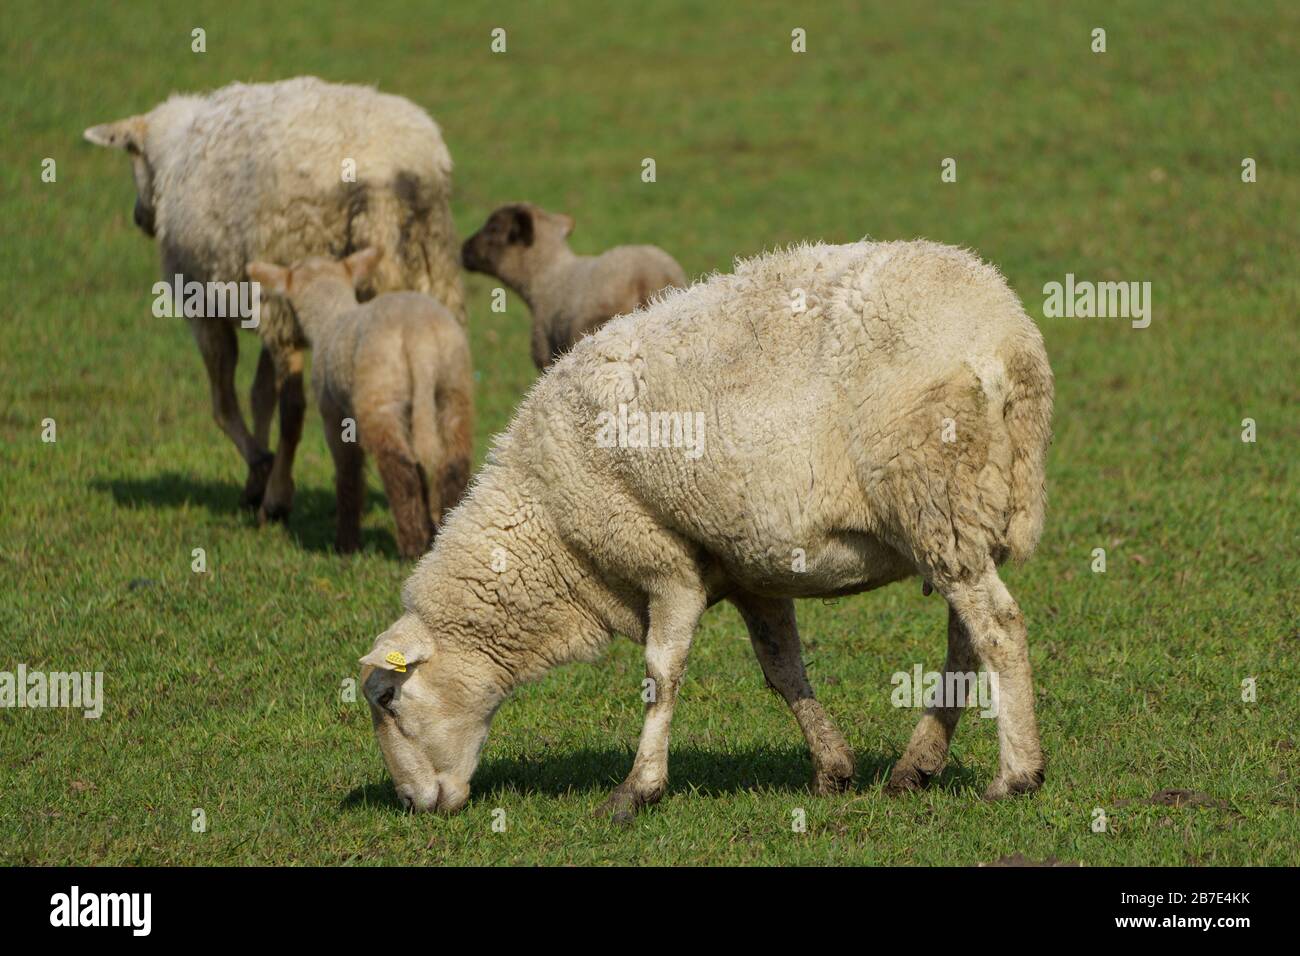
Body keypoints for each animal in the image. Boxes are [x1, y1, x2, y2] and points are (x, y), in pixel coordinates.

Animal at [84, 76, 465, 523]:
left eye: (131, 153)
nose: (138, 217)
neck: (172, 154)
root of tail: (389, 171)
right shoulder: (264, 302)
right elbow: (259, 394)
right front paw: (254, 481)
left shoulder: (207, 307)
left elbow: (226, 403)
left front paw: (260, 467)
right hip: (433, 278)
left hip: (291, 272)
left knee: (295, 408)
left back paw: (278, 499)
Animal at [247, 248, 472, 559]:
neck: (331, 315)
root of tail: (421, 340)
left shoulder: (334, 414)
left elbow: (348, 472)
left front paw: (345, 544)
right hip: (452, 388)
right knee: (453, 462)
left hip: (379, 395)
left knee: (398, 466)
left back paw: (411, 546)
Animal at [359, 239, 1054, 818]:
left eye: (387, 701)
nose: (414, 805)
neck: (547, 527)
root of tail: (1009, 336)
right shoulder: (750, 571)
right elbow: (782, 670)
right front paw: (831, 768)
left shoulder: (664, 562)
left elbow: (660, 675)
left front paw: (637, 789)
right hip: (963, 514)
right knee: (966, 640)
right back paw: (918, 765)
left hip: (934, 495)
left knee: (998, 628)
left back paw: (1016, 775)